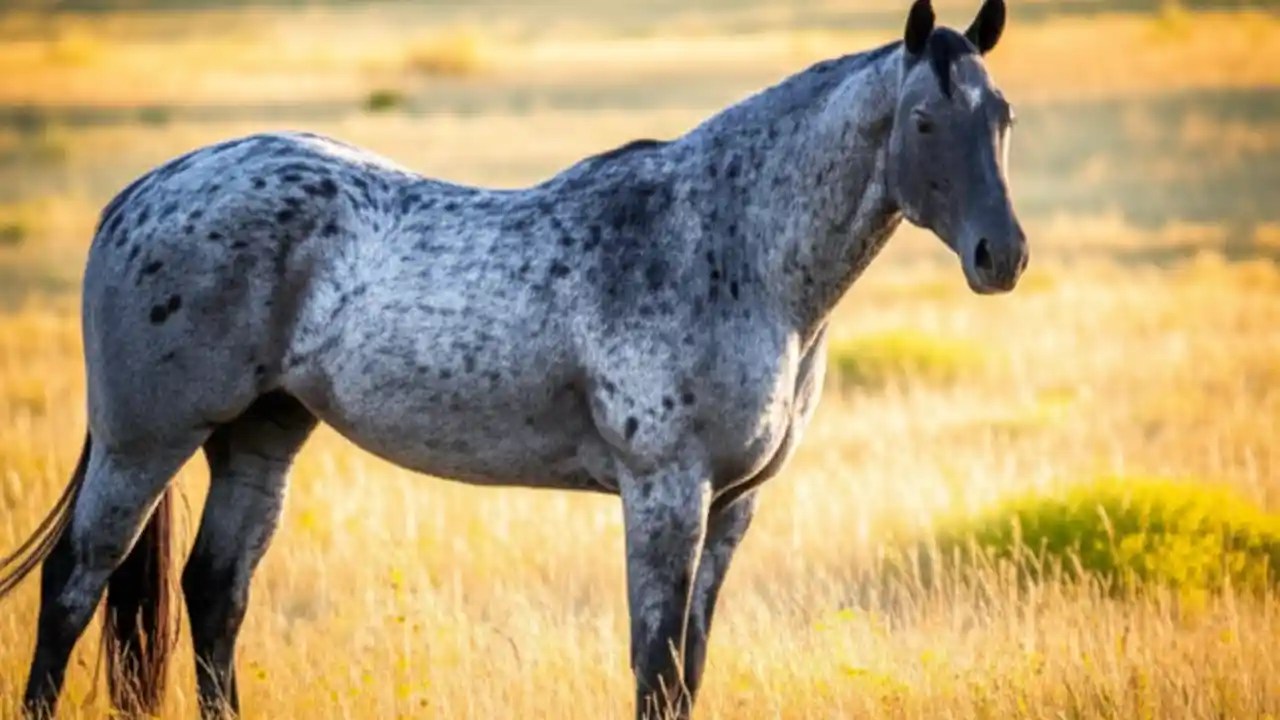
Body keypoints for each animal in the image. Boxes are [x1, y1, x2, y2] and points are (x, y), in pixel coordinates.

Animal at [0, 0, 1025, 717]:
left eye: (1004, 117)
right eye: (924, 122)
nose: (1001, 256)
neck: (729, 245)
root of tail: (142, 192)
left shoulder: (735, 504)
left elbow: (686, 672)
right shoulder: (666, 493)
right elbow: (654, 670)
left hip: (261, 438)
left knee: (214, 596)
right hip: (145, 444)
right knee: (73, 586)